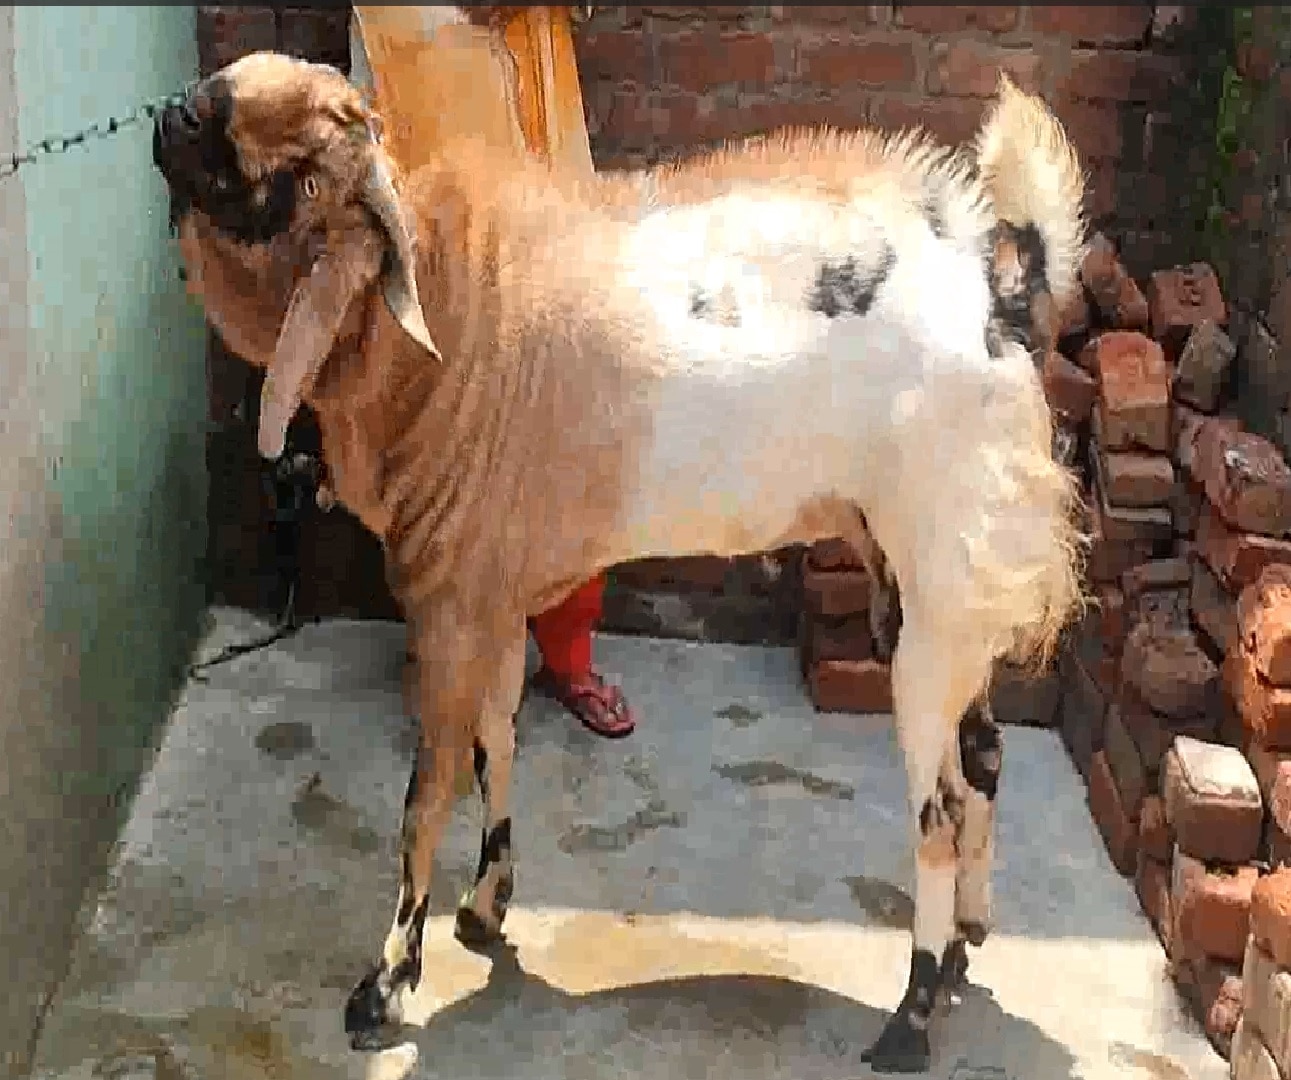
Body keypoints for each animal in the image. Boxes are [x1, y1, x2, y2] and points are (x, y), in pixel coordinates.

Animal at [153, 53, 1087, 1073]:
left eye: (293, 167)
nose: (171, 112)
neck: (449, 316)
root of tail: (999, 296)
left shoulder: (449, 602)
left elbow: (425, 794)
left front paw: (386, 987)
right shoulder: (488, 590)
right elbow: (498, 741)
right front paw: (485, 907)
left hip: (938, 590)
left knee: (939, 816)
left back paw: (909, 1020)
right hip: (934, 596)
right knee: (983, 761)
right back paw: (960, 952)